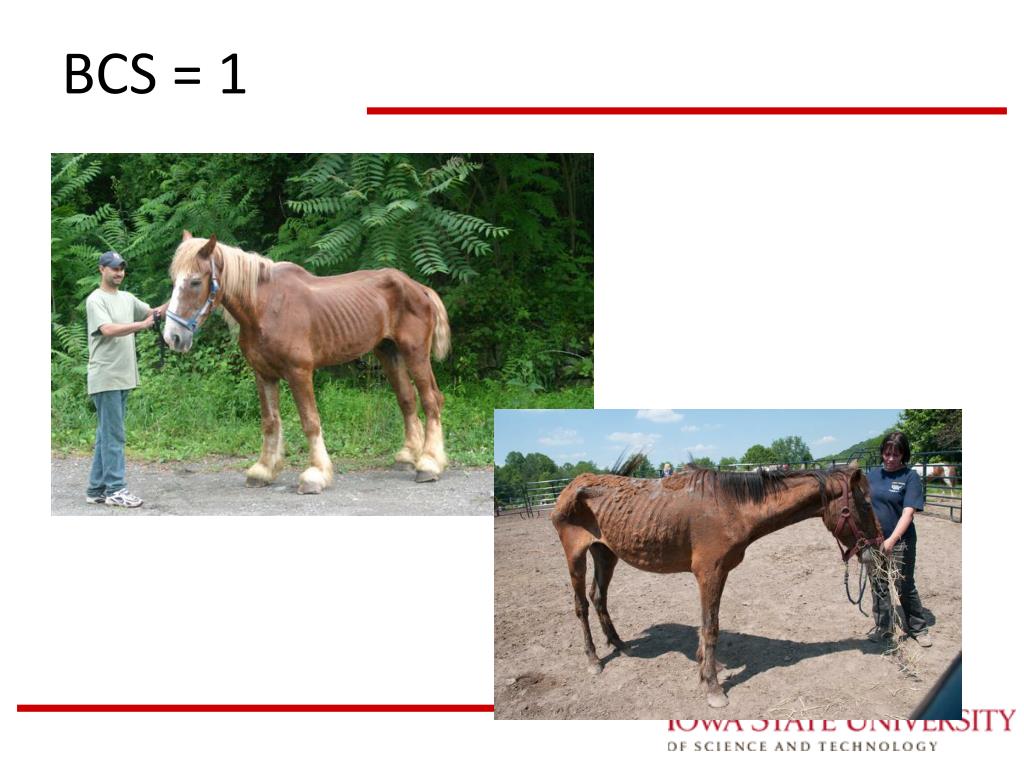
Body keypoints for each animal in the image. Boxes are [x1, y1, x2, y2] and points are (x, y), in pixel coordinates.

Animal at [163, 231, 450, 494]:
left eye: (195, 282)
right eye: (174, 280)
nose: (172, 337)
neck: (265, 308)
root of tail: (418, 288)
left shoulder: (299, 372)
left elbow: (310, 421)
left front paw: (316, 475)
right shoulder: (263, 374)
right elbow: (270, 422)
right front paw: (263, 469)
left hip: (415, 353)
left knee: (430, 400)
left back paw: (429, 464)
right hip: (390, 353)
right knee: (407, 399)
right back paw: (409, 455)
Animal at [551, 458, 883, 708]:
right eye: (866, 505)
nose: (879, 545)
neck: (730, 506)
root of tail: (572, 486)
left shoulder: (713, 575)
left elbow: (705, 625)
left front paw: (706, 668)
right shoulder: (710, 572)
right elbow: (711, 627)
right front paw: (713, 688)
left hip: (605, 554)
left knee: (598, 597)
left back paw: (620, 645)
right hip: (575, 556)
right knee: (581, 604)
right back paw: (594, 659)